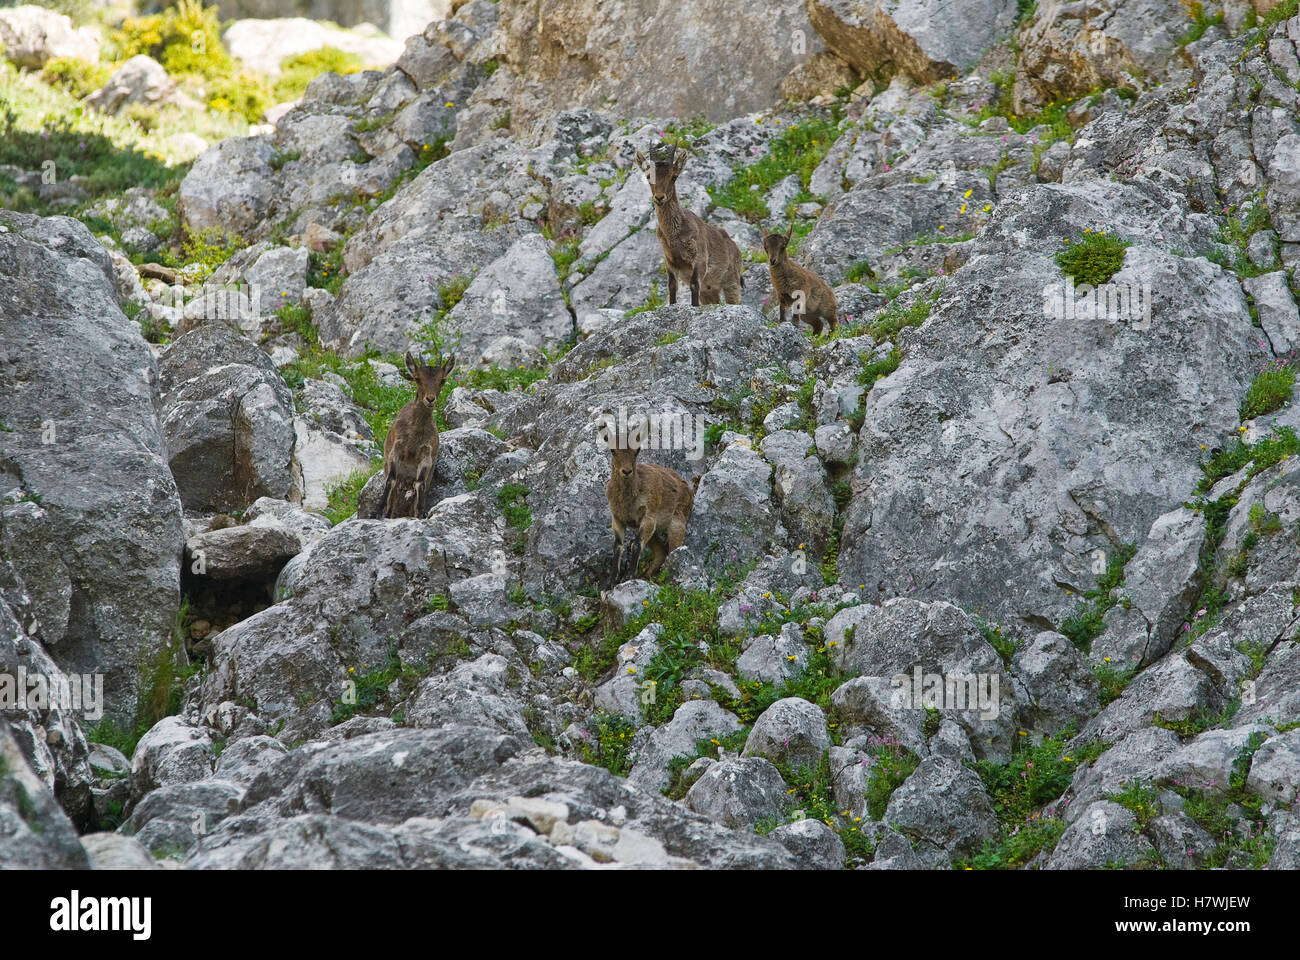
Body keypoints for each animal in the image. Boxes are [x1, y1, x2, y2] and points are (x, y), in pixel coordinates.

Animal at [372, 351, 455, 519]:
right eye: (417, 378)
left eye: (442, 380)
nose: (430, 399)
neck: (414, 435)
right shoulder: (396, 450)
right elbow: (391, 480)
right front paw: (376, 511)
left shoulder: (427, 455)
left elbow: (420, 483)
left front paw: (422, 512)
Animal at [605, 439, 694, 586]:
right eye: (613, 450)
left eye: (637, 450)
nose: (626, 471)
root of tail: (689, 490)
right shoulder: (619, 519)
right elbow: (617, 546)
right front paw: (611, 583)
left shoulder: (649, 516)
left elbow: (636, 544)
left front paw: (629, 577)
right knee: (661, 551)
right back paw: (647, 575)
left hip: (677, 522)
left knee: (674, 550)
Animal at [635, 142, 743, 307]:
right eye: (648, 176)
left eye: (674, 176)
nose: (659, 198)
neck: (674, 236)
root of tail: (736, 248)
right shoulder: (670, 261)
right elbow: (672, 286)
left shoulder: (699, 258)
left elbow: (694, 285)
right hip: (709, 290)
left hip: (731, 281)